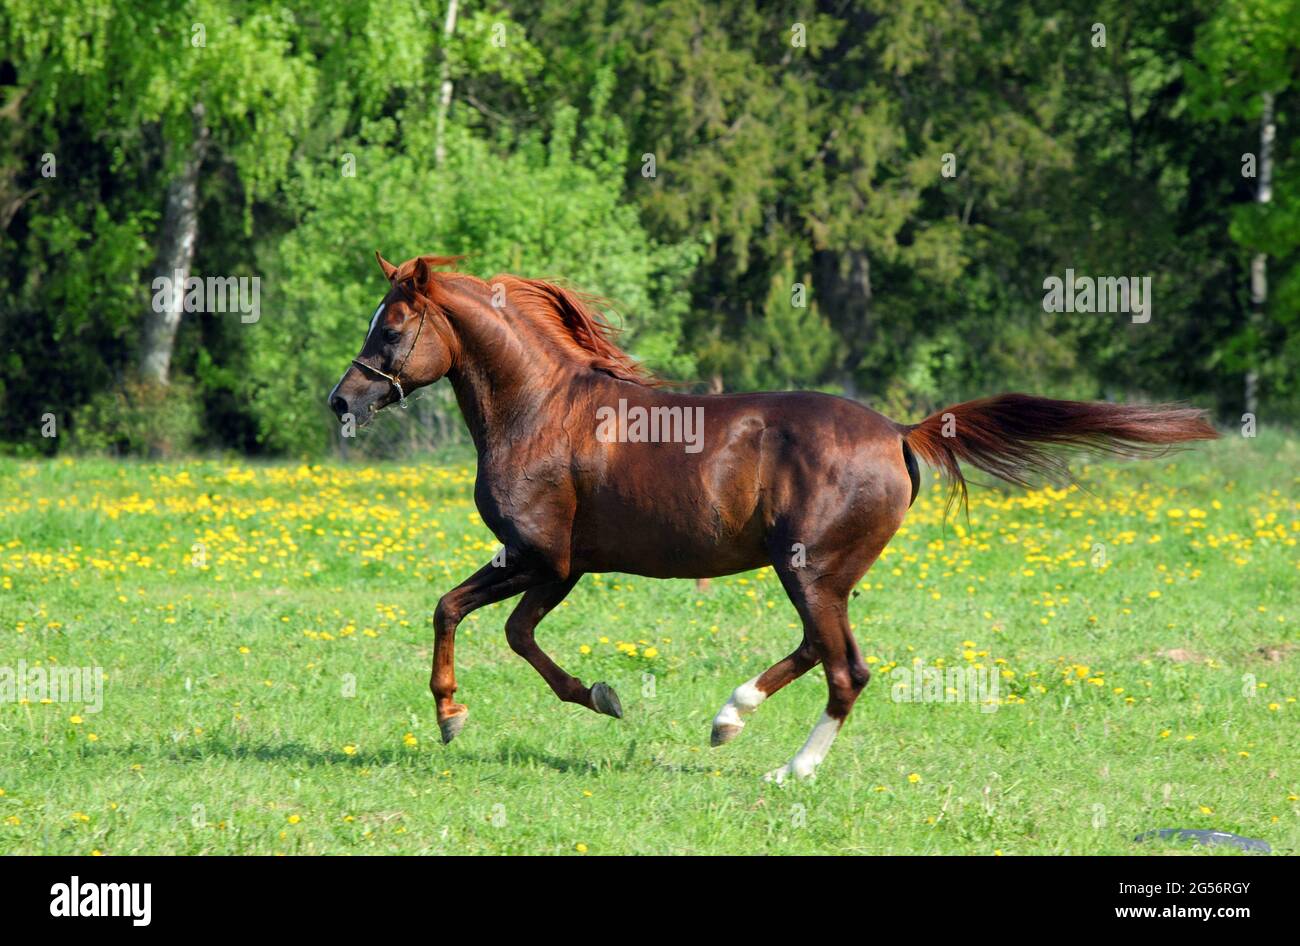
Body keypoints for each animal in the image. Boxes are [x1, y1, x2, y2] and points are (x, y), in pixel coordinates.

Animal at [328, 252, 1217, 782]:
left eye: (392, 325)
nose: (343, 399)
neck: (540, 410)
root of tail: (900, 433)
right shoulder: (557, 567)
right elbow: (501, 629)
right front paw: (591, 697)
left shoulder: (540, 558)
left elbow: (463, 614)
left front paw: (457, 715)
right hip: (825, 573)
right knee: (825, 654)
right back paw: (744, 728)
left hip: (809, 568)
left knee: (845, 669)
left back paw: (777, 758)